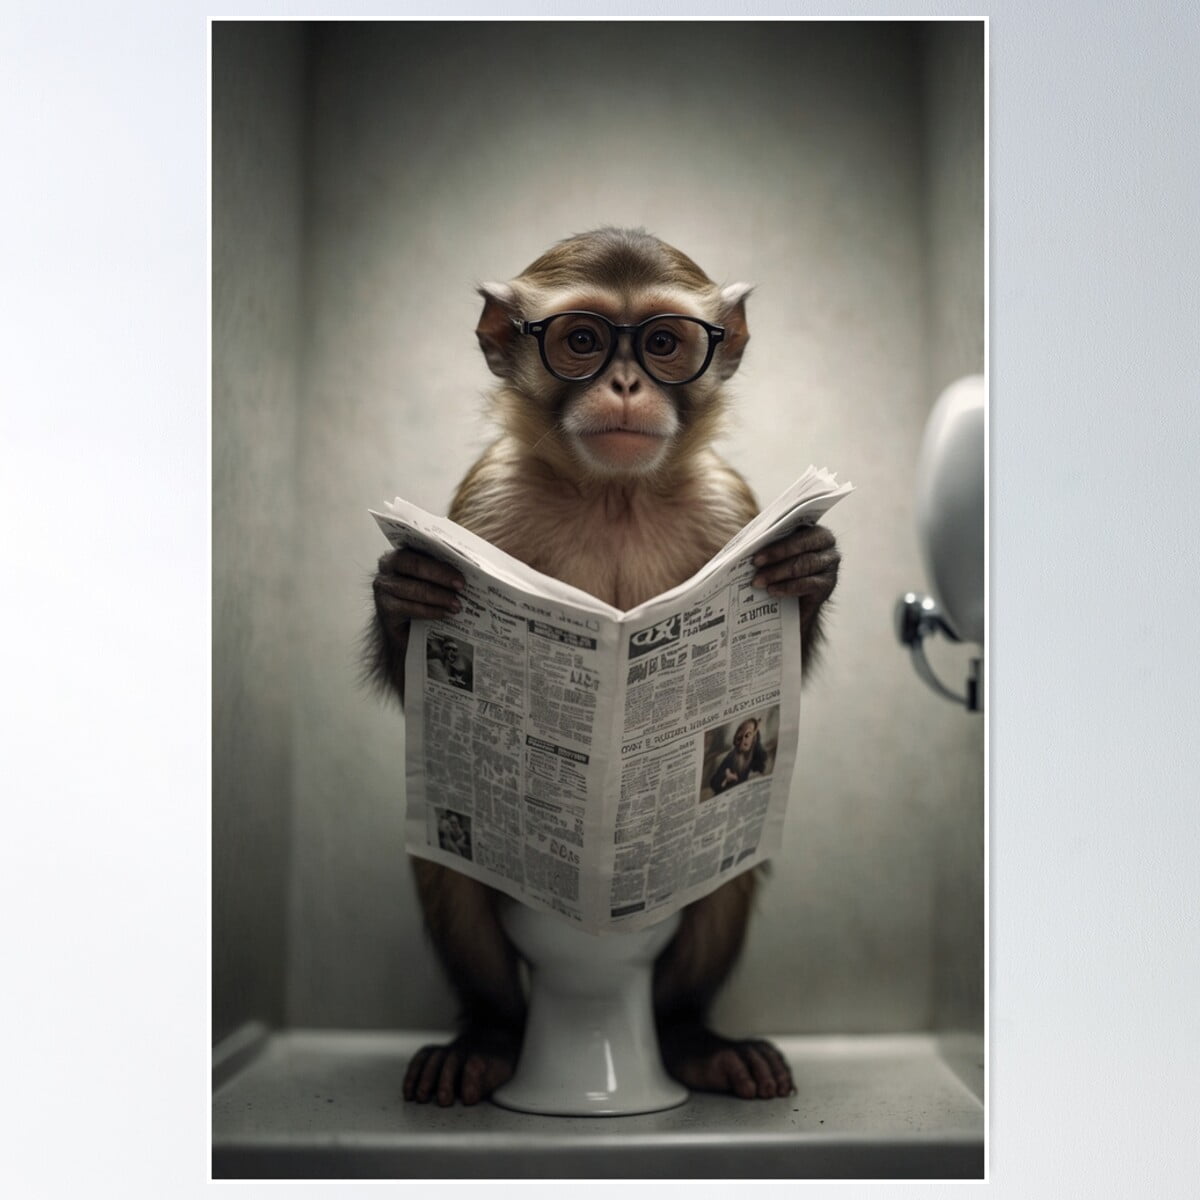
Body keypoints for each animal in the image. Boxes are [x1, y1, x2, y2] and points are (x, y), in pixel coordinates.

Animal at [367, 227, 840, 1107]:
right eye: (581, 341)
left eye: (663, 343)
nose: (624, 383)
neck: (615, 493)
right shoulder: (489, 499)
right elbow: (415, 679)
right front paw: (404, 589)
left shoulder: (727, 502)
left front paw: (808, 566)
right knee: (453, 863)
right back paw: (486, 1033)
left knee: (722, 871)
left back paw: (694, 1035)